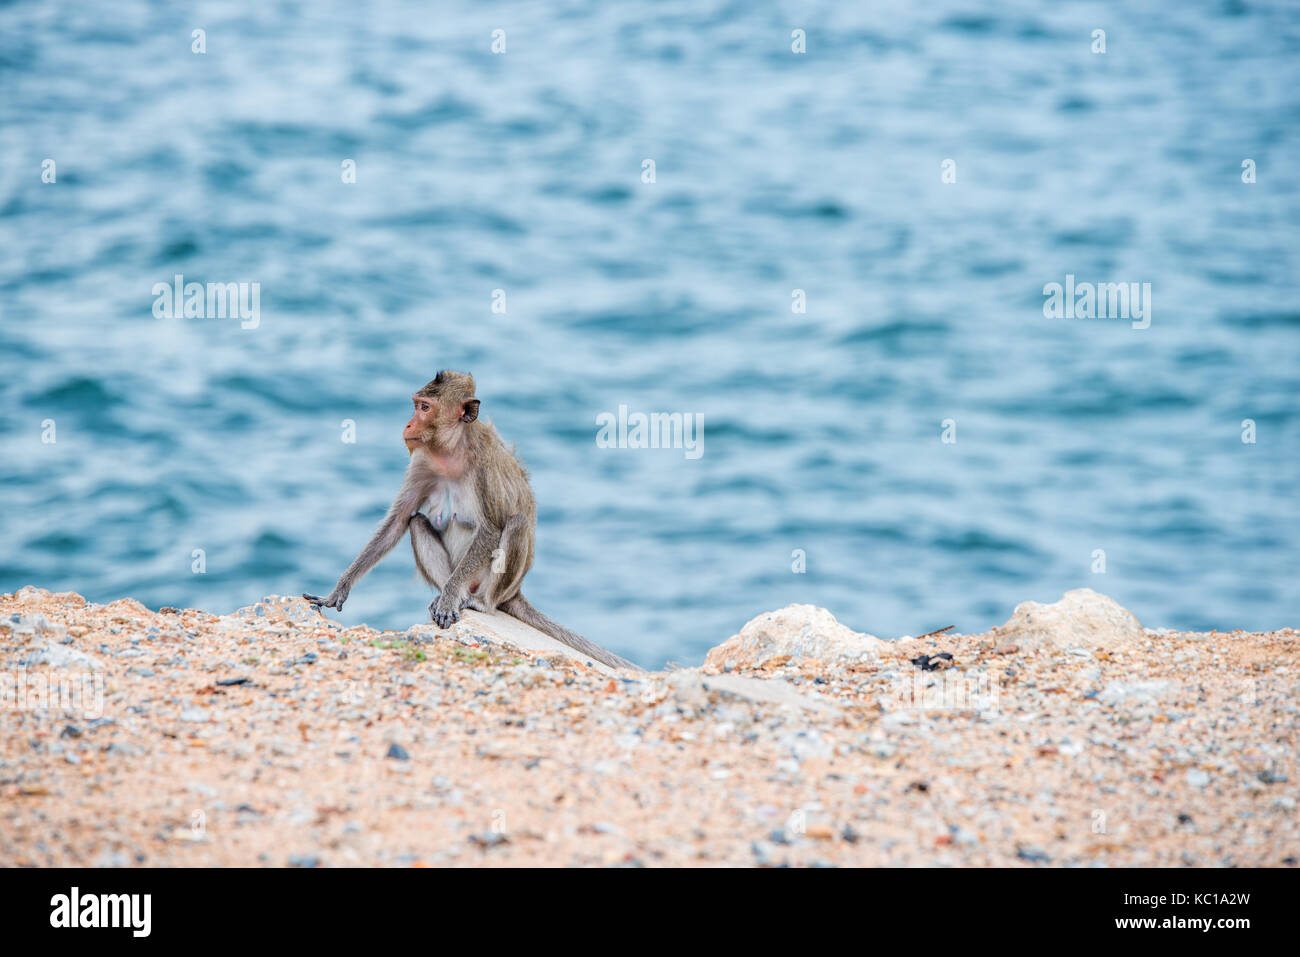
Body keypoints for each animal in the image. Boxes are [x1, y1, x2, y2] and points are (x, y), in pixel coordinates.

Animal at [303, 370, 641, 672]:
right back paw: (447, 597)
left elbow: (491, 528)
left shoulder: (485, 468)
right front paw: (339, 590)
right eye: (417, 404)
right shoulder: (422, 461)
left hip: (497, 583)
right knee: (417, 522)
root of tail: (514, 592)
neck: (451, 451)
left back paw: (473, 601)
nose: (408, 424)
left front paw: (450, 598)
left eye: (425, 408)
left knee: (516, 524)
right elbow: (398, 520)